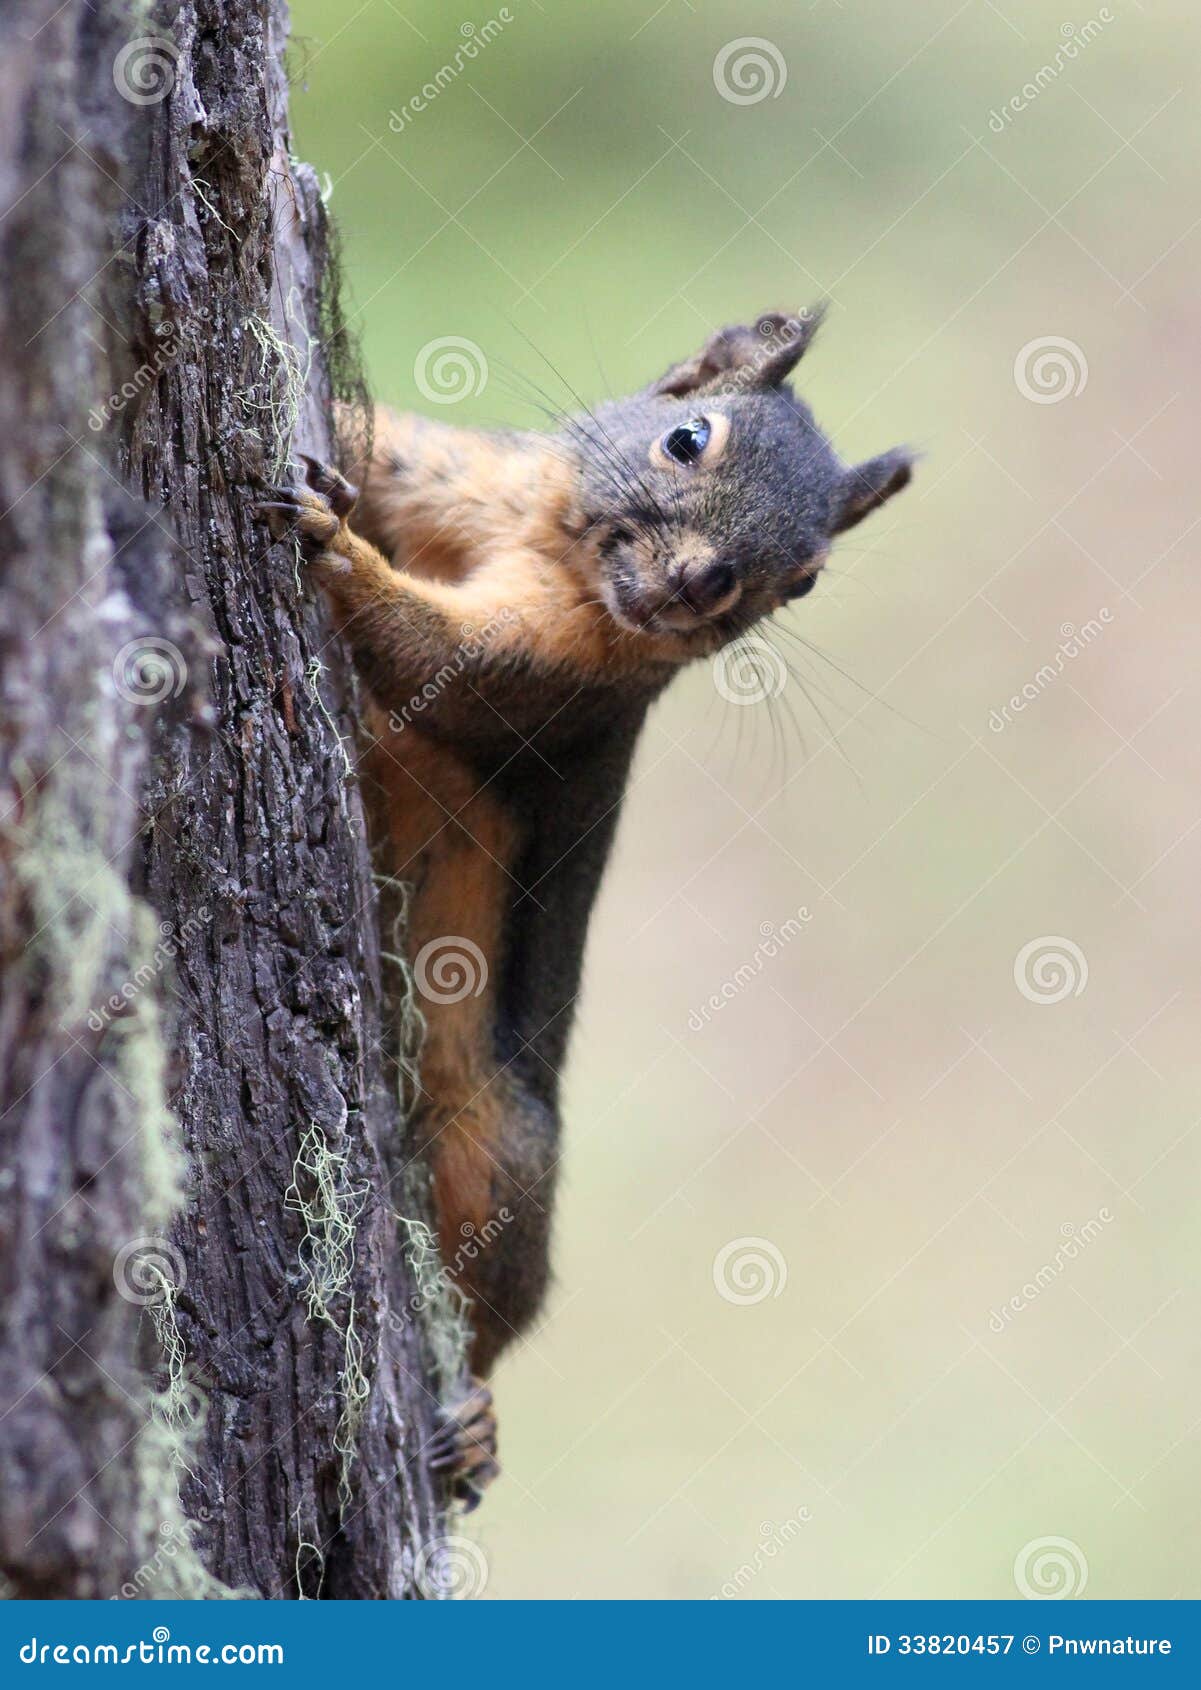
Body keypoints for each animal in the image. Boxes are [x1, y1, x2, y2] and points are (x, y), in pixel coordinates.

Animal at [257, 308, 914, 1509]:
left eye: (801, 582)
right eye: (687, 437)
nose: (703, 585)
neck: (552, 539)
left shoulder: (555, 672)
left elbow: (438, 657)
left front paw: (333, 548)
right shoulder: (462, 476)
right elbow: (388, 448)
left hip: (498, 1146)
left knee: (487, 1313)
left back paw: (472, 1425)